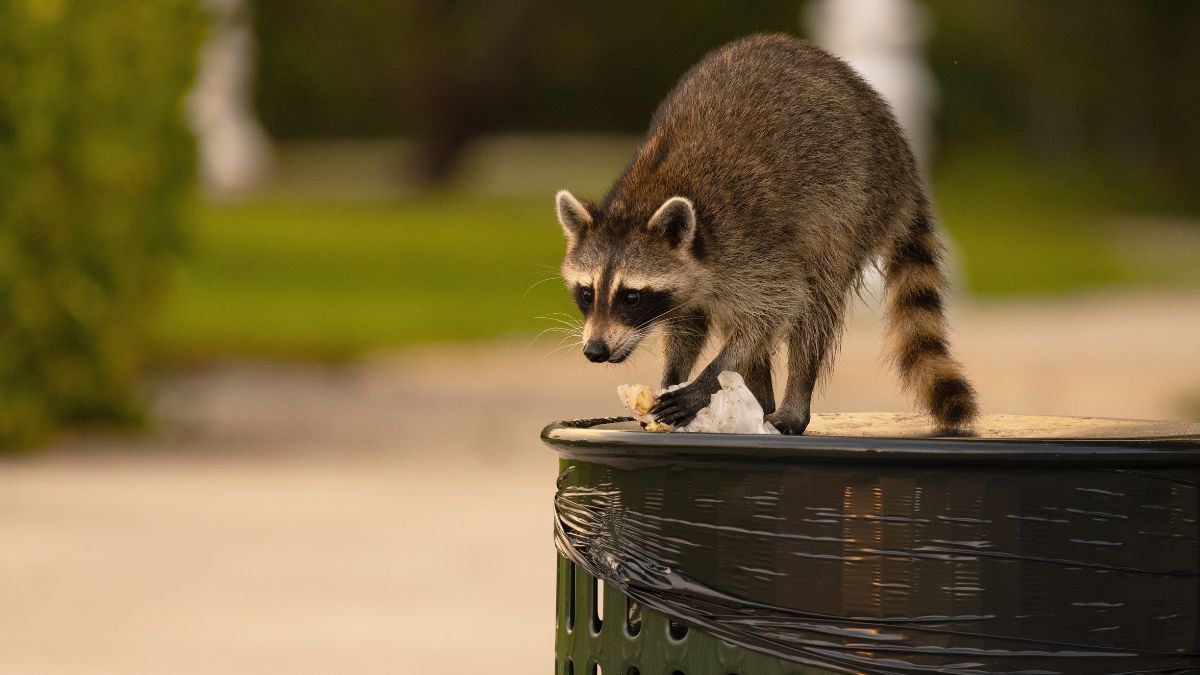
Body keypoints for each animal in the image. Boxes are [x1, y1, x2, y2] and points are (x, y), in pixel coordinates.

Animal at [555, 33, 977, 435]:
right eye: (587, 293)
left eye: (630, 297)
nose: (595, 350)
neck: (642, 199)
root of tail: (902, 153)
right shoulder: (691, 278)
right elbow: (689, 323)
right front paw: (673, 374)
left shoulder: (748, 245)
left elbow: (776, 307)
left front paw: (706, 379)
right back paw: (757, 397)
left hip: (853, 203)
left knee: (814, 300)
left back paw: (791, 404)